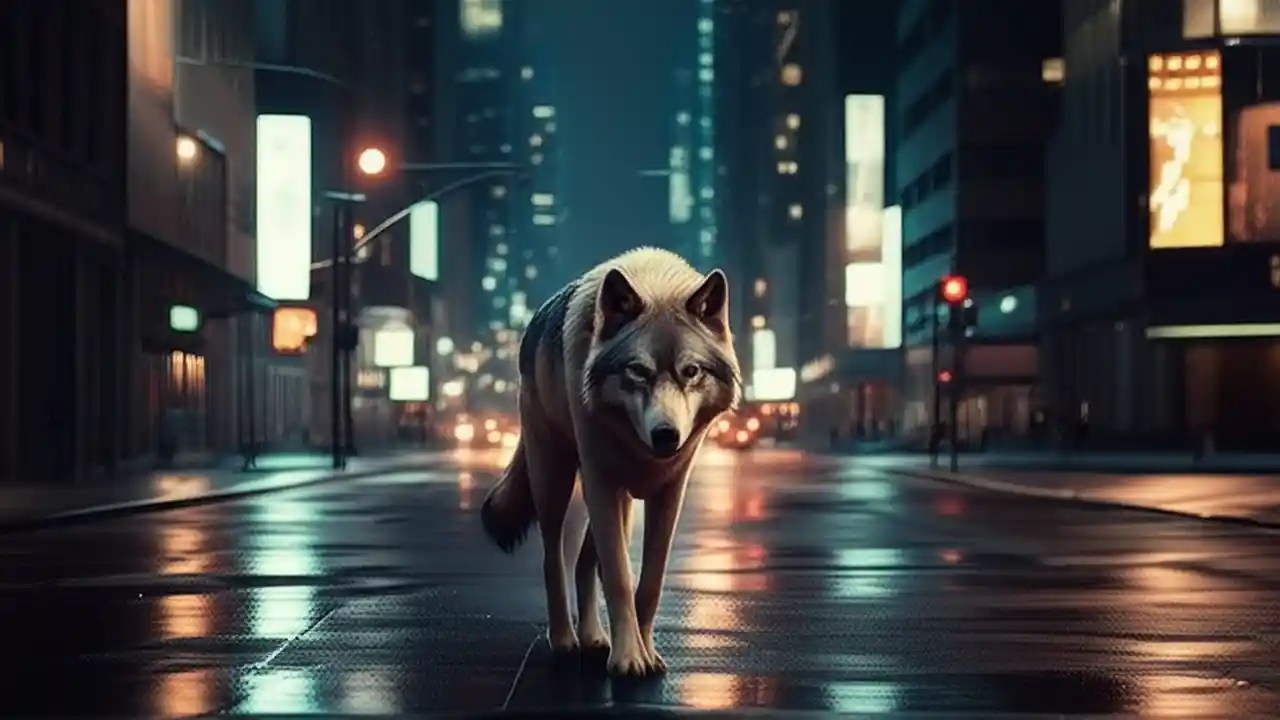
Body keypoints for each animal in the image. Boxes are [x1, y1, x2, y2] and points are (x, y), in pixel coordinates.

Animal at [480, 247, 741, 677]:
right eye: (637, 371)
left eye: (691, 372)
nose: (666, 435)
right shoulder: (601, 482)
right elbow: (618, 575)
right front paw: (629, 659)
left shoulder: (669, 492)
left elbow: (648, 581)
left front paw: (645, 650)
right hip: (556, 480)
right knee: (554, 558)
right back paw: (565, 638)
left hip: (620, 503)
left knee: (586, 561)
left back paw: (593, 636)